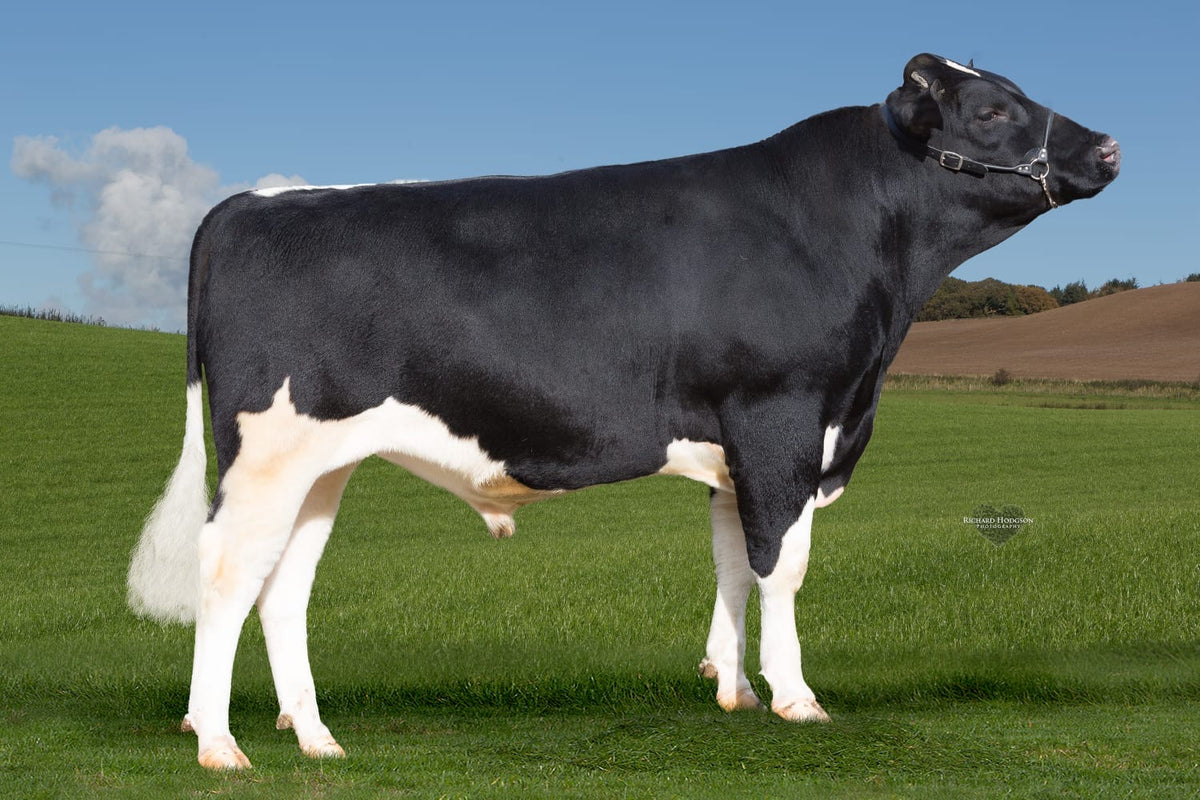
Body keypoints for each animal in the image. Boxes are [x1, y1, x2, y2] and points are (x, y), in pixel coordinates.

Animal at [129, 53, 1119, 769]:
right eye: (989, 110)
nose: (1108, 148)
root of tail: (254, 199)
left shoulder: (736, 446)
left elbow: (731, 563)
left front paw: (734, 689)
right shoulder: (782, 418)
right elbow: (782, 565)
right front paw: (796, 698)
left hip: (322, 463)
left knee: (283, 584)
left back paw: (315, 738)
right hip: (267, 451)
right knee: (227, 570)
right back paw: (219, 743)